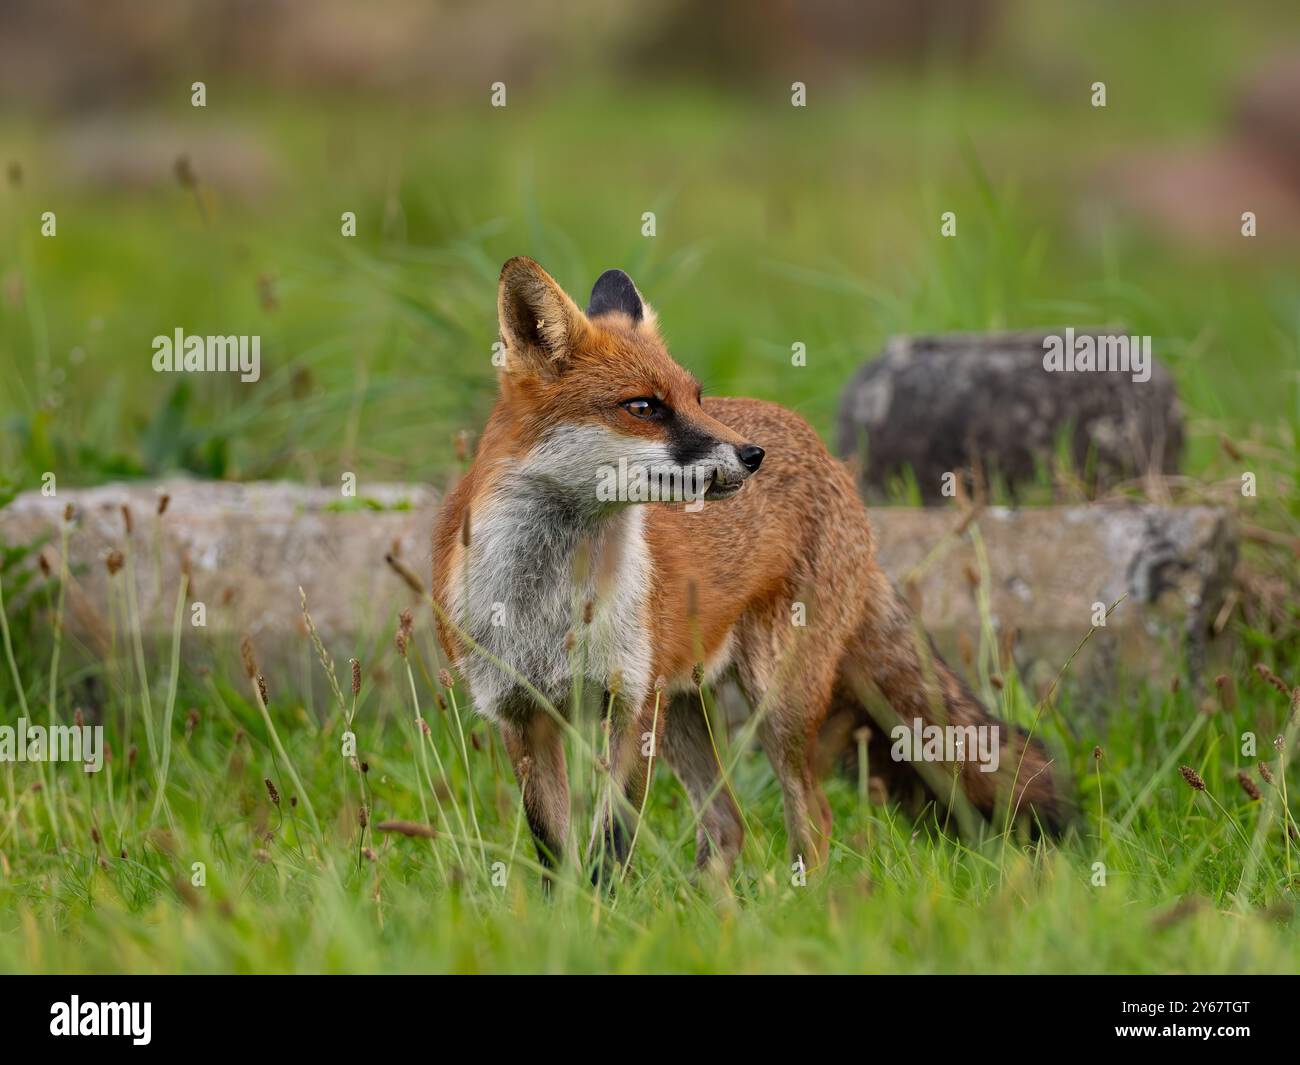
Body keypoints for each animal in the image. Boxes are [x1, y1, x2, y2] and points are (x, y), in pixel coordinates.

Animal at [432, 256, 1068, 882]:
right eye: (643, 407)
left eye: (695, 397)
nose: (752, 455)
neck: (548, 603)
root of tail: (823, 450)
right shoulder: (521, 714)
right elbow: (552, 854)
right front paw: (565, 911)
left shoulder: (630, 705)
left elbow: (608, 847)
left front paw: (598, 908)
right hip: (683, 708)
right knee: (727, 825)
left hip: (774, 699)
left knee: (813, 817)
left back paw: (803, 904)